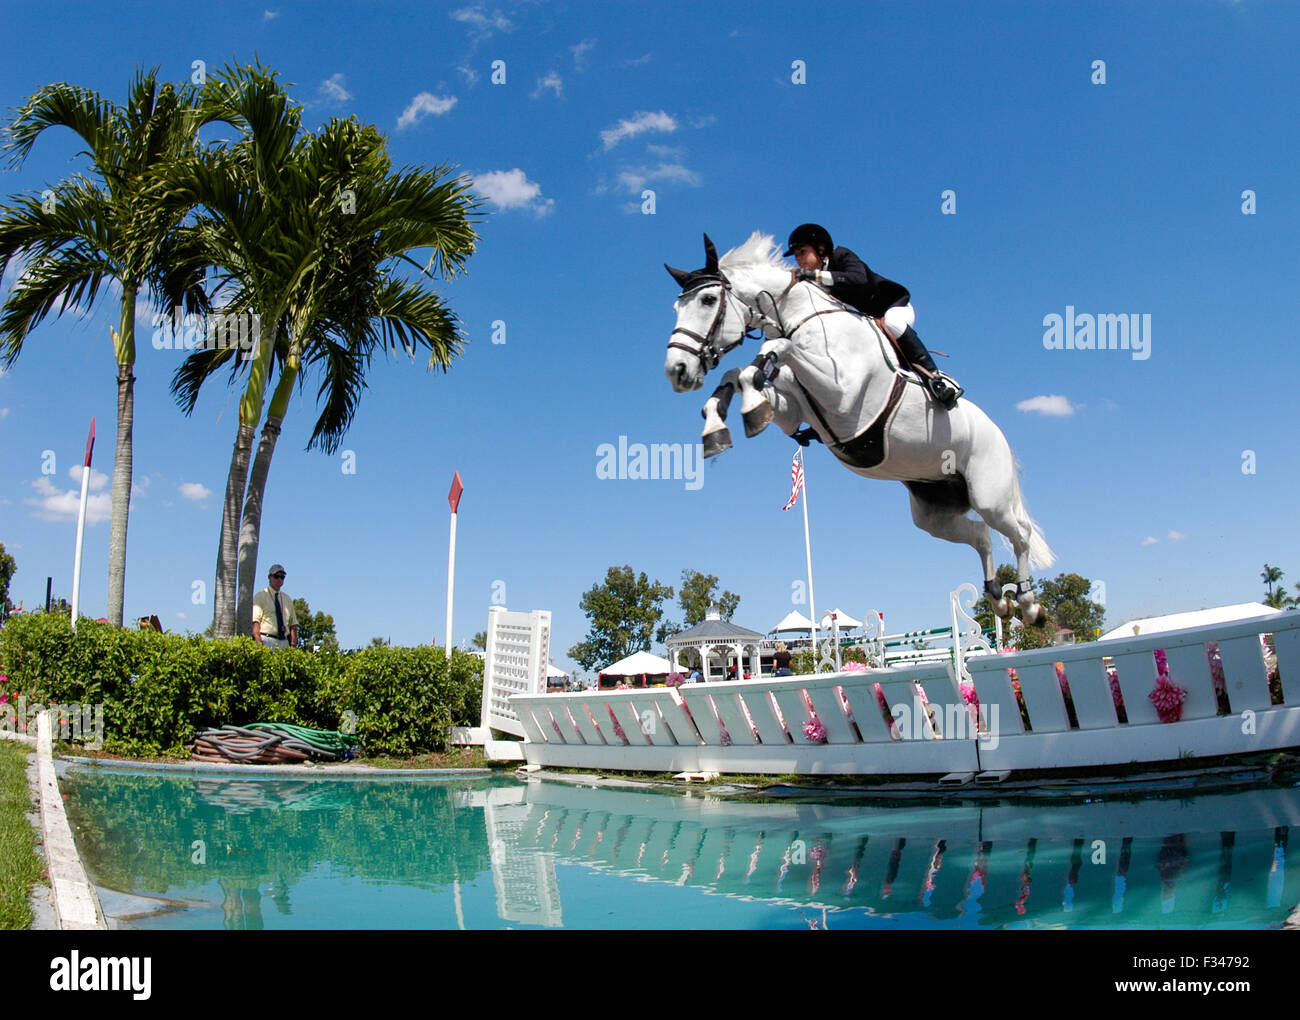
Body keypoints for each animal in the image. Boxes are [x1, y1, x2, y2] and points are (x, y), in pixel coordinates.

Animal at [663, 232, 1054, 623]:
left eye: (708, 300)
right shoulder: (793, 410)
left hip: (989, 494)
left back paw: (1029, 604)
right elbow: (739, 376)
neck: (803, 319)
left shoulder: (843, 392)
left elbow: (774, 349)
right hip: (935, 513)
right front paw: (719, 427)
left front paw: (746, 401)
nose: (677, 371)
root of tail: (999, 434)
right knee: (981, 535)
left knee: (1019, 534)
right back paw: (998, 599)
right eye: (676, 309)